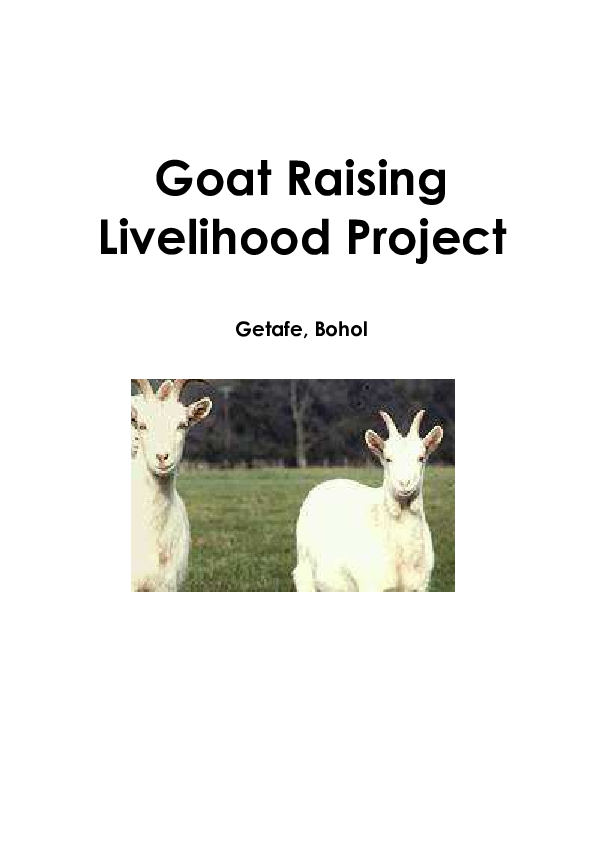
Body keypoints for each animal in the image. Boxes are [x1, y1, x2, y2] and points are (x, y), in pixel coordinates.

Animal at [294, 409, 443, 591]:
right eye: (388, 458)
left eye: (421, 458)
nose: (404, 483)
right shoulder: (370, 584)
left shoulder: (420, 586)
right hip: (304, 571)